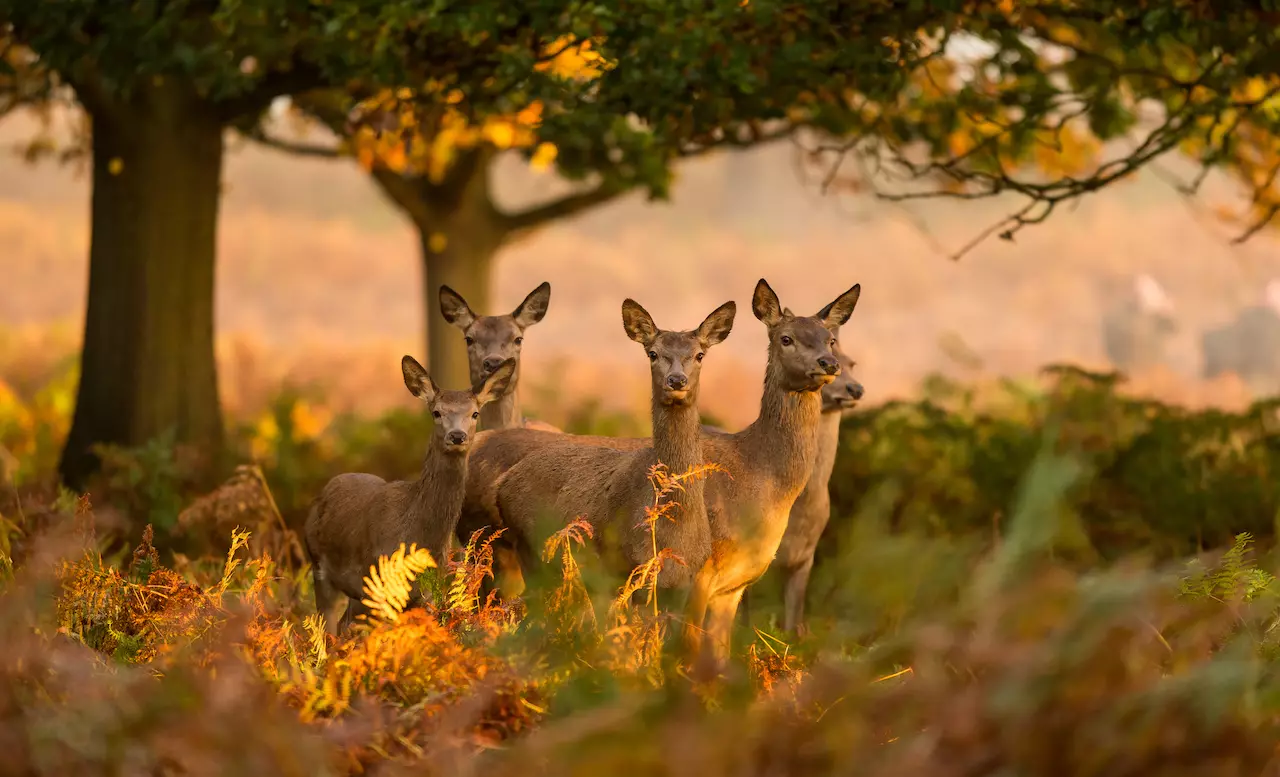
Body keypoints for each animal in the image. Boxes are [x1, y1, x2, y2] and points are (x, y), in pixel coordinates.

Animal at [302, 355, 512, 634]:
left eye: (474, 413)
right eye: (436, 412)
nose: (457, 436)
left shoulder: (427, 594)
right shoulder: (380, 586)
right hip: (319, 567)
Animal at [488, 298, 737, 588]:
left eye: (700, 354)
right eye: (652, 353)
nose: (676, 380)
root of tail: (502, 483)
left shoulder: (685, 580)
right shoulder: (622, 567)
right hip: (530, 549)